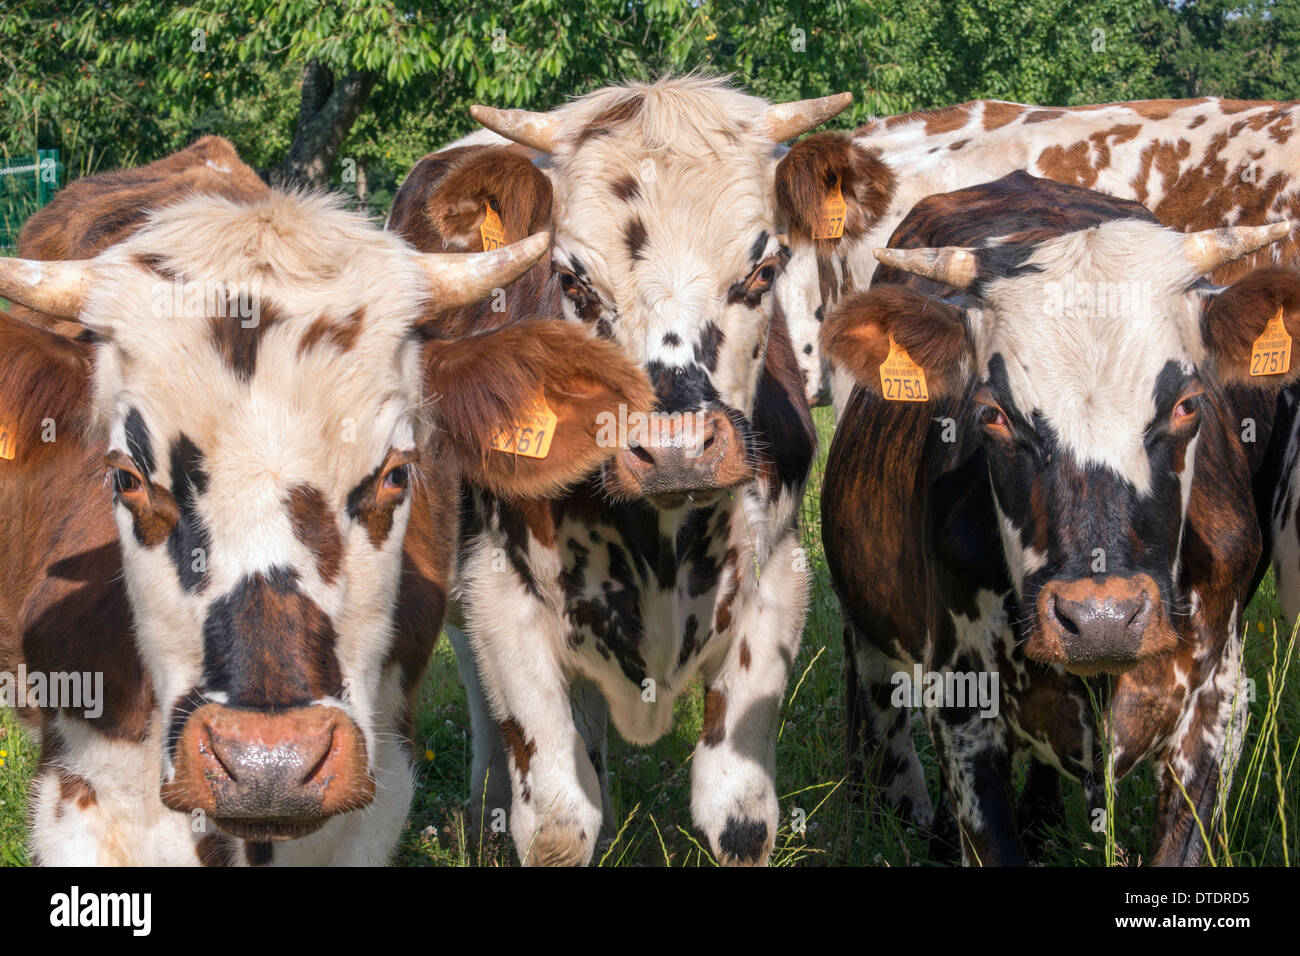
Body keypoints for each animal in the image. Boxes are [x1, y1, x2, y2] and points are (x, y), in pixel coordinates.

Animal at [387, 75, 853, 865]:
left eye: (762, 270)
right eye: (572, 282)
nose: (673, 449)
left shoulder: (778, 583)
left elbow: (740, 815)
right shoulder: (501, 596)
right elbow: (556, 823)